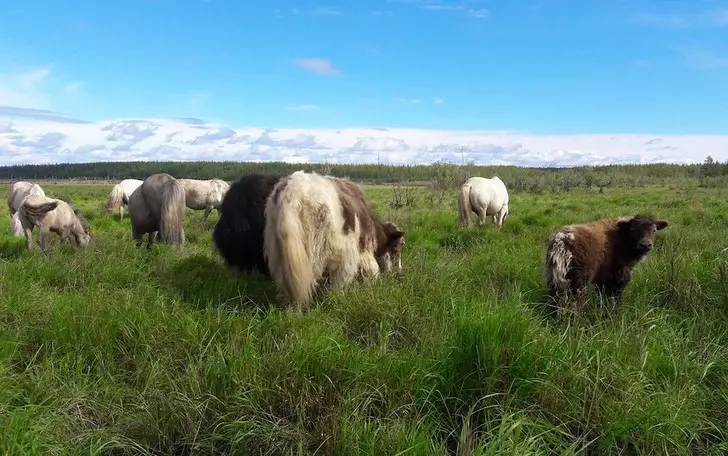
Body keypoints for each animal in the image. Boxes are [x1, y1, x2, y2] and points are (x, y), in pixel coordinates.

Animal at [264, 169, 406, 312]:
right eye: (398, 247)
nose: (399, 272)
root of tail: (291, 190)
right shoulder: (359, 252)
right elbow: (366, 272)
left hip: (279, 251)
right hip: (313, 251)